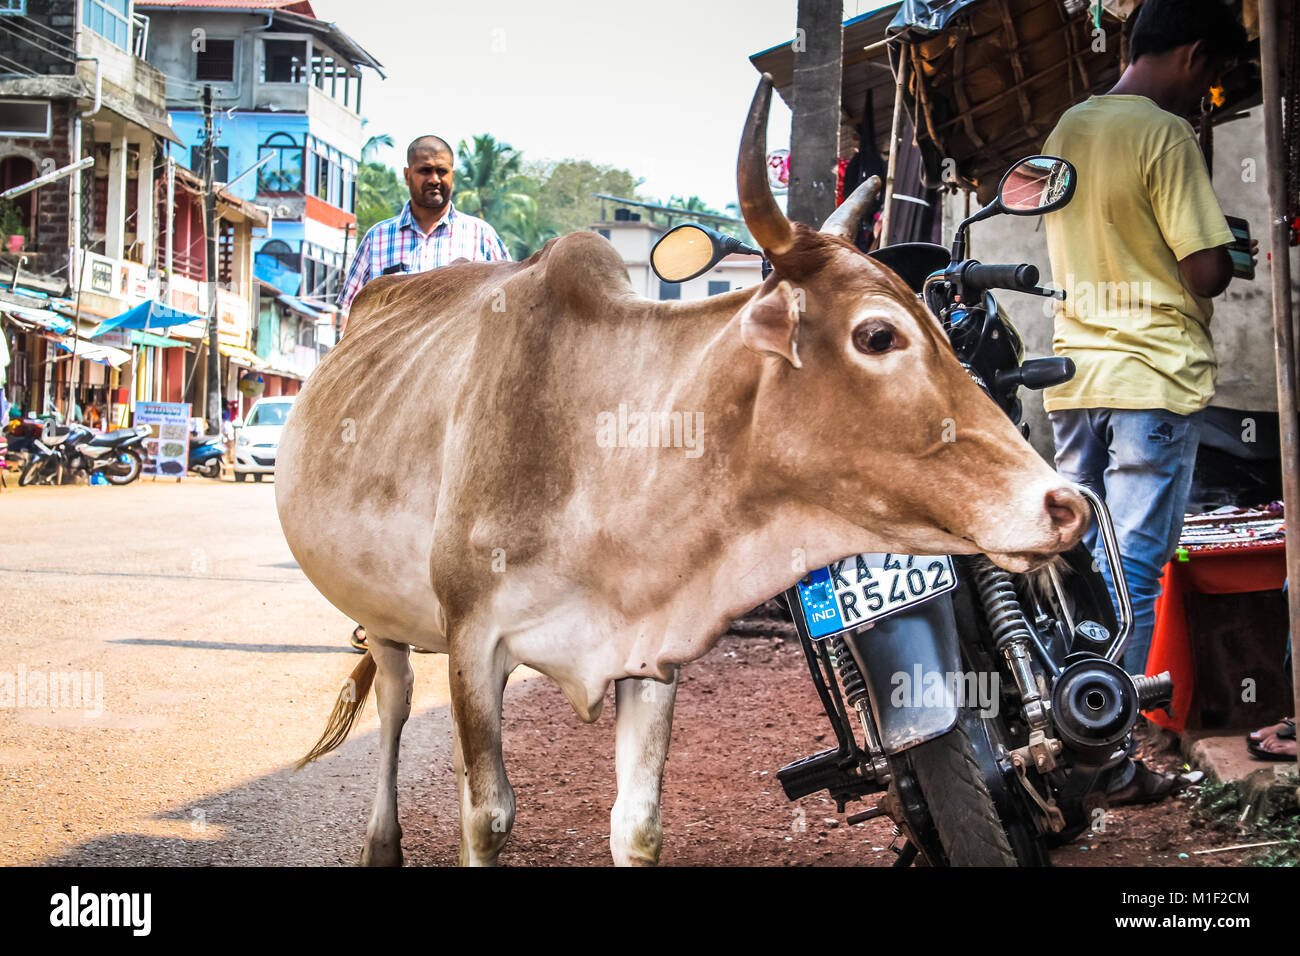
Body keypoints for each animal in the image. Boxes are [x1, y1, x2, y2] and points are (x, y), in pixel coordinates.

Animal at [276, 75, 1087, 867]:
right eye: (878, 335)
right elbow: (487, 815)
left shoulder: (652, 652)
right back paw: (382, 841)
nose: (1064, 505)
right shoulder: (474, 641)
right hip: (386, 618)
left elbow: (636, 825)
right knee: (396, 700)